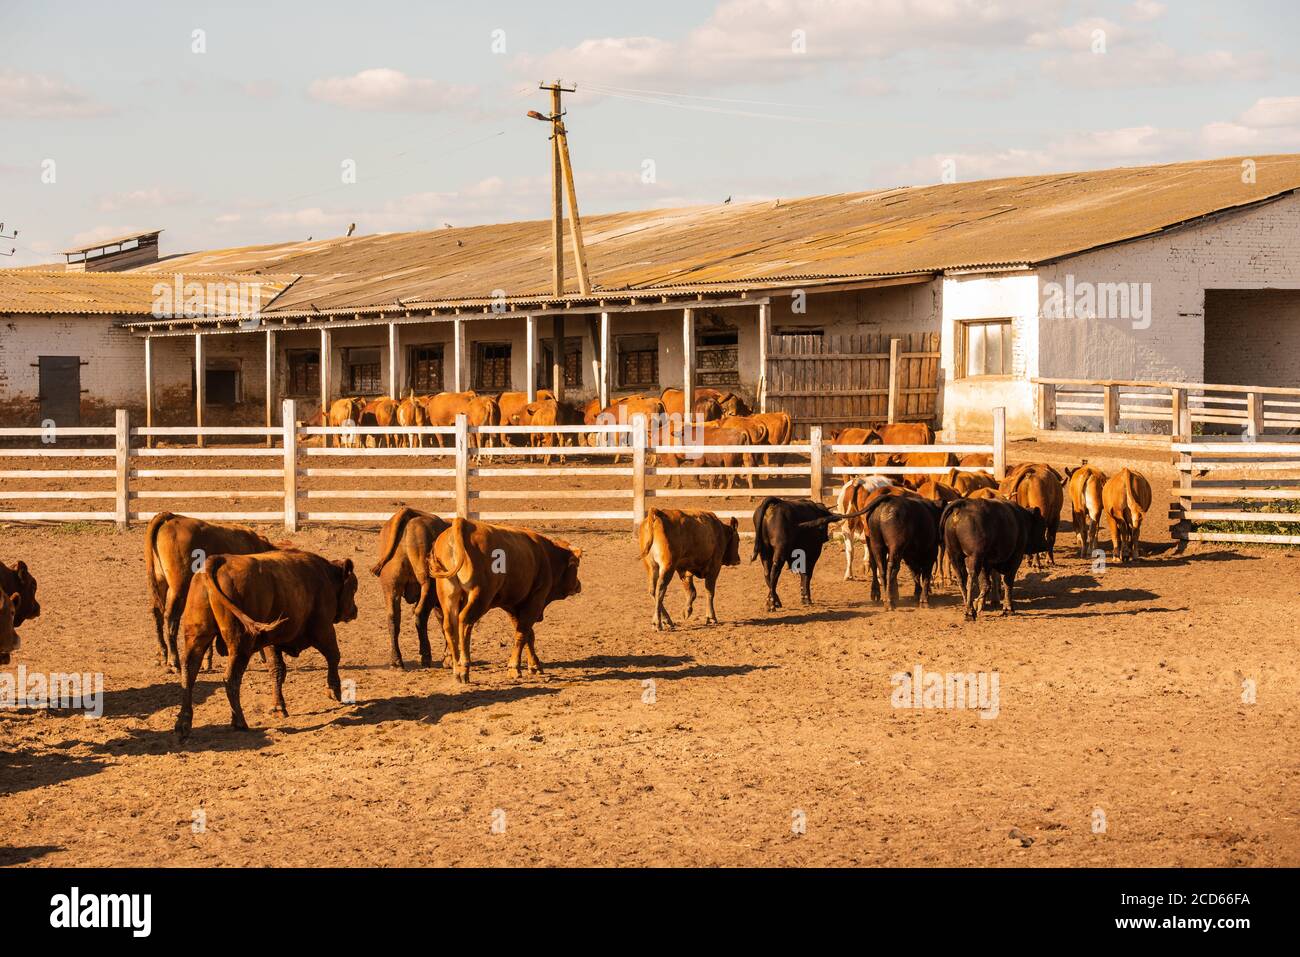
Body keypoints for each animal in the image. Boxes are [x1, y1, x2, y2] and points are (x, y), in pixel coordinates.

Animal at [146, 512, 283, 672]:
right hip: (178, 589)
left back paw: (164, 654)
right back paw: (174, 661)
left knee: (158, 614)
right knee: (170, 618)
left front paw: (207, 660)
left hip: (160, 582)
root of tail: (171, 517)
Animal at [174, 549, 358, 739]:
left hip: (196, 637)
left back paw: (183, 724)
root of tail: (217, 560)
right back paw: (239, 722)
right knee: (231, 679)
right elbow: (333, 655)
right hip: (240, 646)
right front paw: (334, 690)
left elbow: (277, 669)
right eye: (354, 588)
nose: (354, 611)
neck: (325, 575)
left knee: (189, 673)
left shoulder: (273, 642)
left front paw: (278, 707)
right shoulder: (323, 629)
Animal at [372, 506, 452, 669]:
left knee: (393, 619)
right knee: (420, 614)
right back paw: (425, 656)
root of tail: (410, 514)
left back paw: (396, 660)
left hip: (391, 588)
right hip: (428, 585)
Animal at [427, 518, 582, 684]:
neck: (546, 555)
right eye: (576, 565)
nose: (578, 585)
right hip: (480, 596)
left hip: (449, 595)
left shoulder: (514, 605)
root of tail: (463, 523)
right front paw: (514, 668)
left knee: (450, 626)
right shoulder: (535, 601)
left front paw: (534, 665)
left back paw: (456, 669)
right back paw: (464, 668)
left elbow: (528, 634)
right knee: (465, 621)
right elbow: (522, 634)